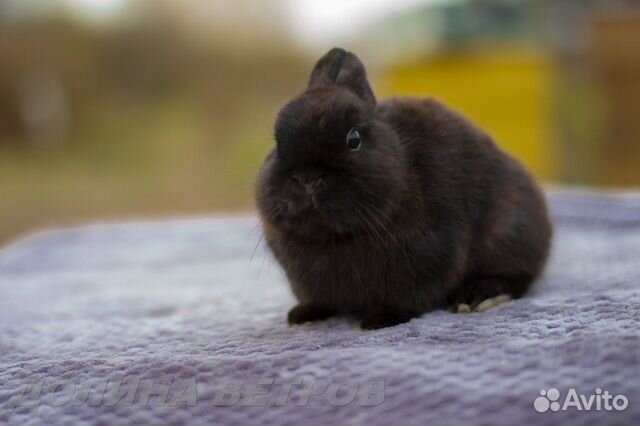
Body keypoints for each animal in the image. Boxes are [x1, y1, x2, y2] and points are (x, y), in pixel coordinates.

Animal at [255, 47, 552, 330]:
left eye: (354, 139)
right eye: (277, 143)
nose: (307, 179)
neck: (334, 237)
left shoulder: (430, 257)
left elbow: (406, 299)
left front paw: (379, 320)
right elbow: (319, 300)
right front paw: (303, 315)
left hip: (509, 232)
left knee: (518, 276)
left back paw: (477, 296)